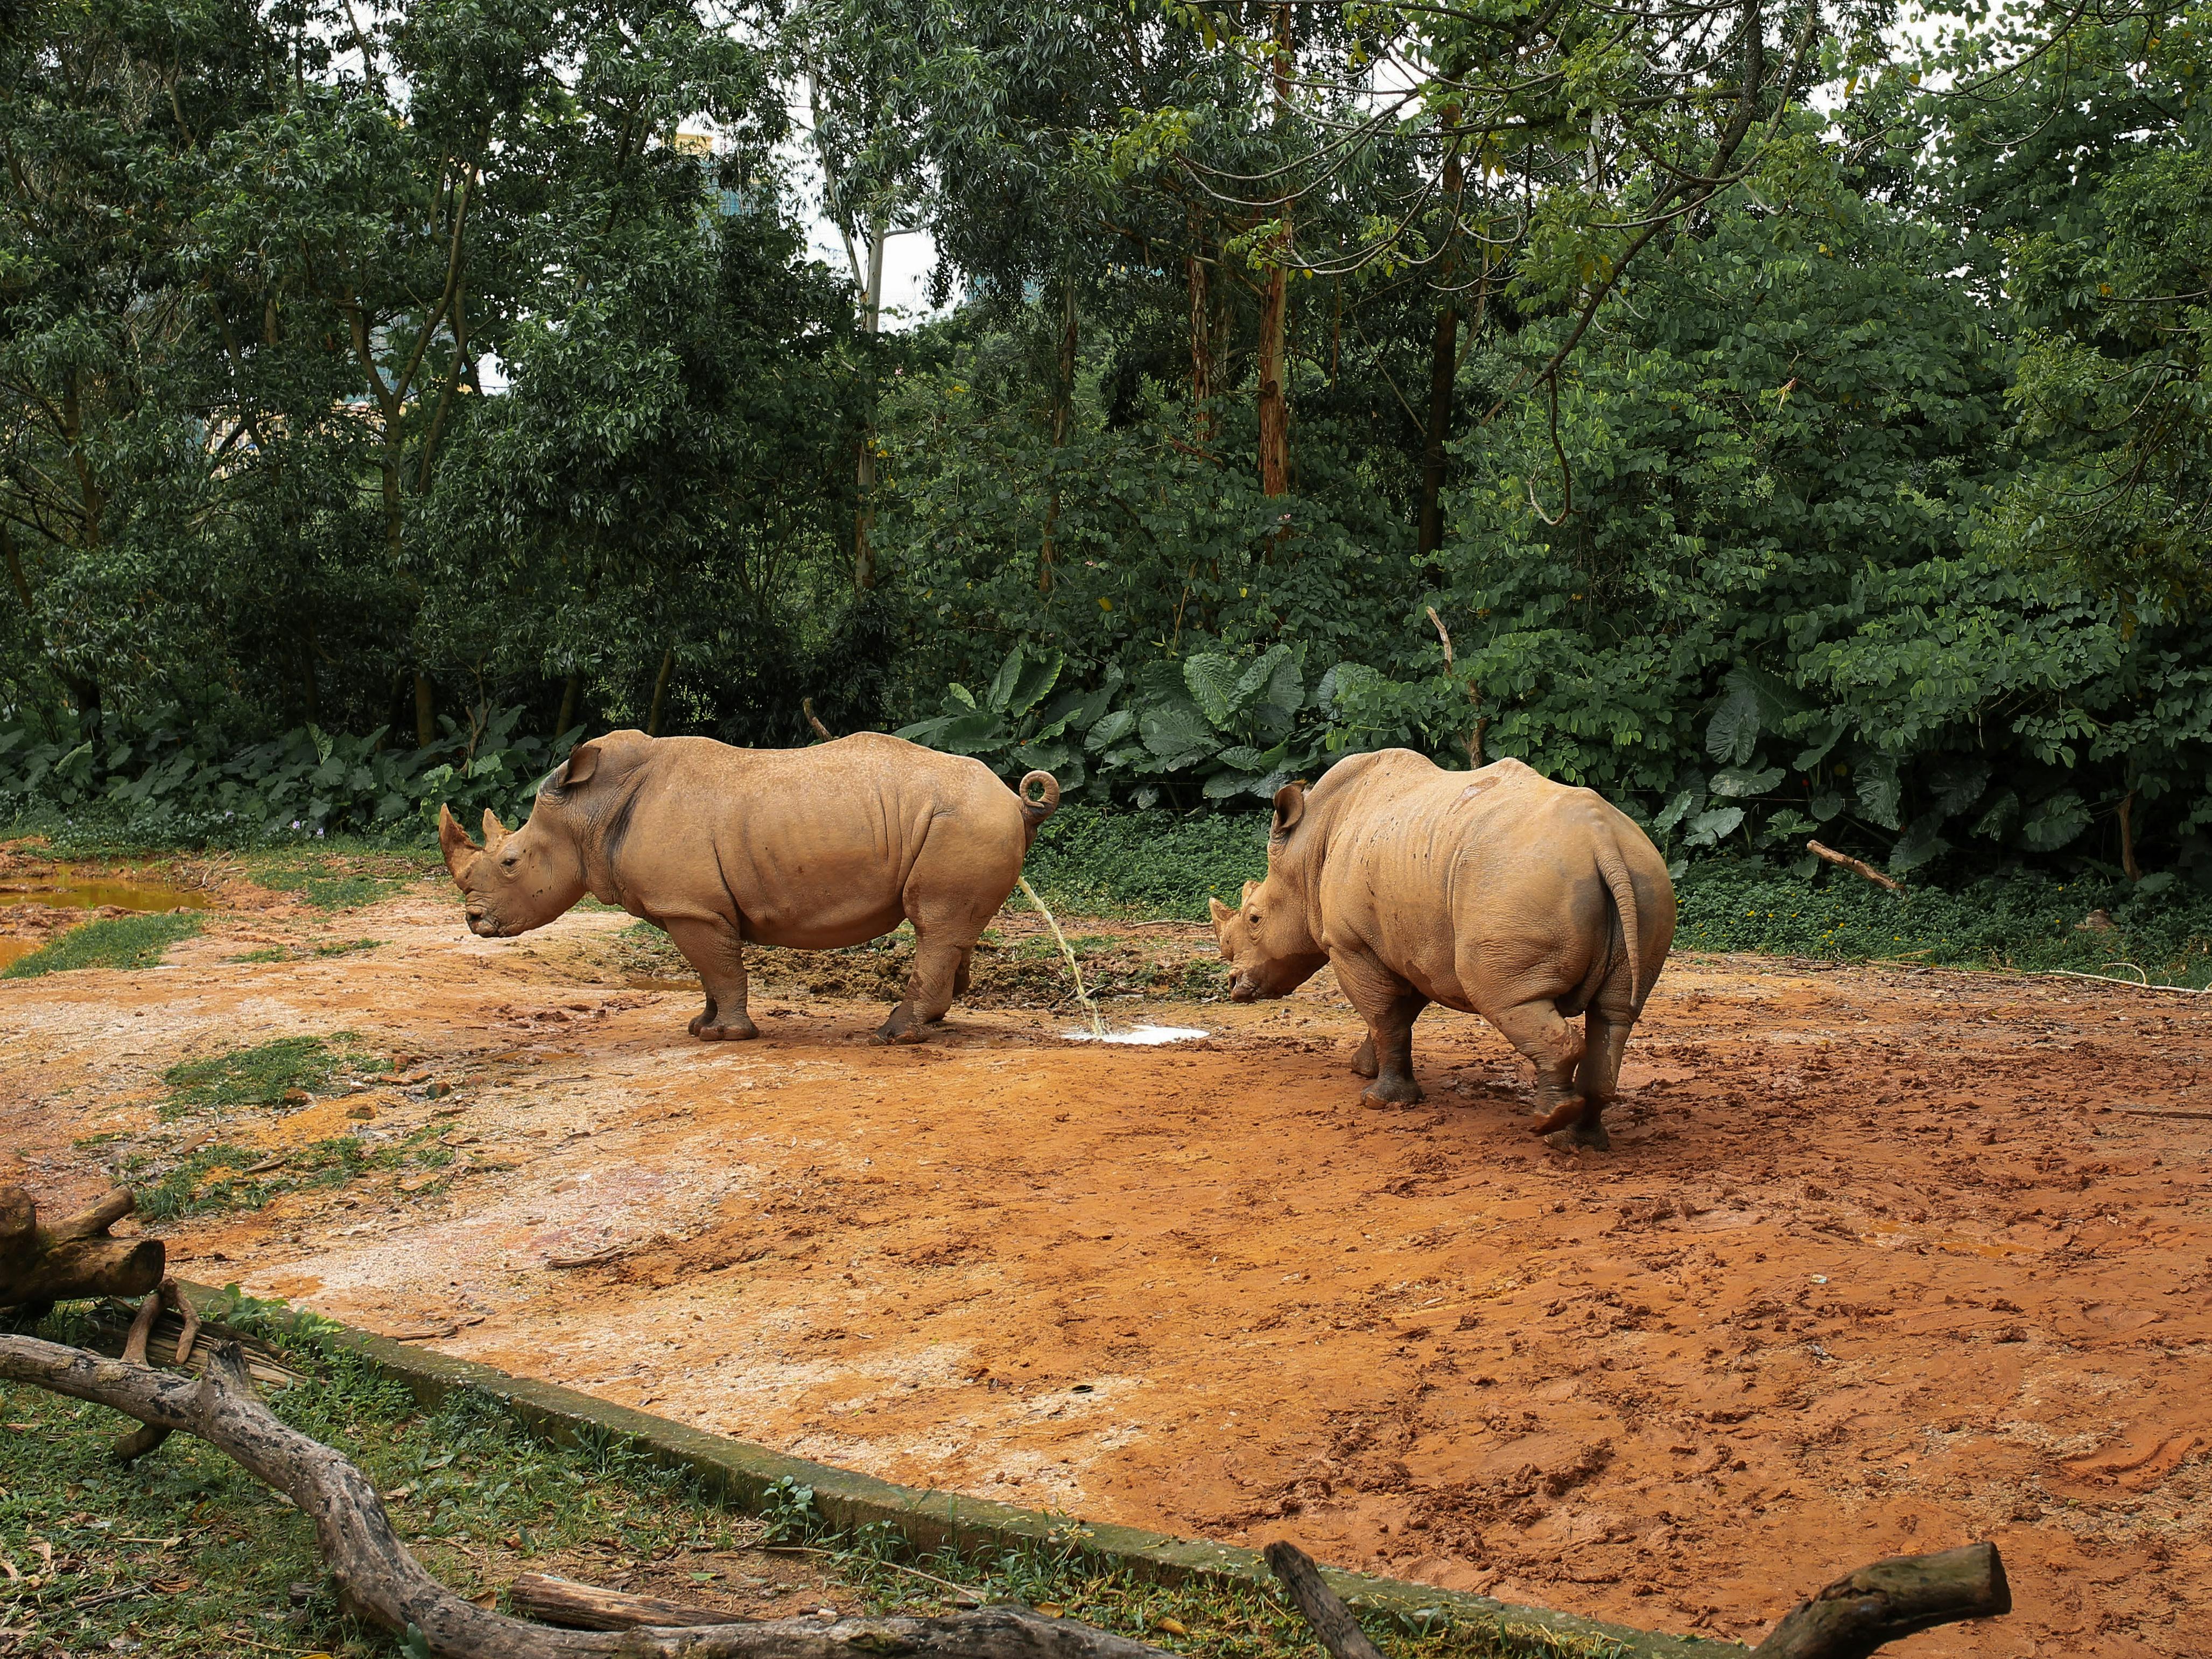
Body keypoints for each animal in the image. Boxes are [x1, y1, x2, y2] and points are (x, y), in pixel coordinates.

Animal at [439, 729, 1058, 1044]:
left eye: (511, 862)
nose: (473, 921)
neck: (586, 812)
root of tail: (1013, 800)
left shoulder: (690, 907)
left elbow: (720, 968)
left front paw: (728, 1037)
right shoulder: (694, 907)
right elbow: (706, 974)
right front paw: (701, 1027)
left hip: (964, 820)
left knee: (934, 926)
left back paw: (893, 1036)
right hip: (964, 822)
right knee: (950, 928)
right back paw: (929, 1024)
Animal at [1209, 750, 1674, 1148]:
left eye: (1254, 919)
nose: (1232, 986)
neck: (1307, 849)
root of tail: (1603, 841)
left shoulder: (1351, 944)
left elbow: (1384, 1014)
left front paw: (1379, 1100)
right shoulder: (1411, 948)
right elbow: (1397, 1014)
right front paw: (1364, 1068)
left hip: (1516, 884)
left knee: (1503, 996)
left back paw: (1547, 1124)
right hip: (1645, 877)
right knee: (1614, 1014)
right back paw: (1578, 1141)